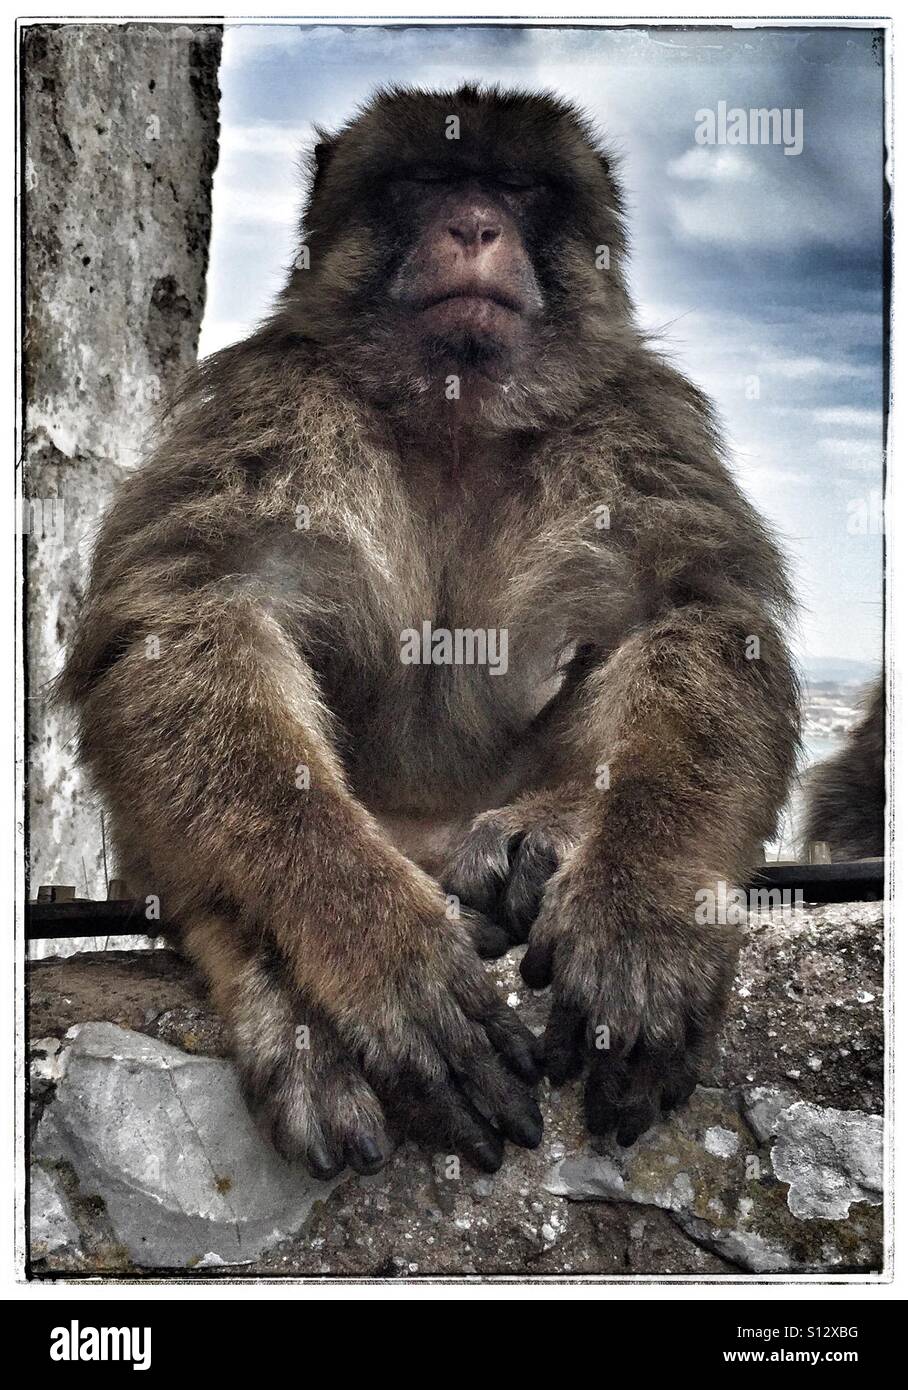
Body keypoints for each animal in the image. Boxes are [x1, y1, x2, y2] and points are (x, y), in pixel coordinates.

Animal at [60, 84, 800, 1176]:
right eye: (422, 182)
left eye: (519, 187)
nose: (474, 226)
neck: (454, 413)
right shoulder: (273, 402)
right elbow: (195, 617)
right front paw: (369, 944)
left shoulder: (632, 413)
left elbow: (692, 613)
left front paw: (644, 912)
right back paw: (290, 995)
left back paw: (554, 833)